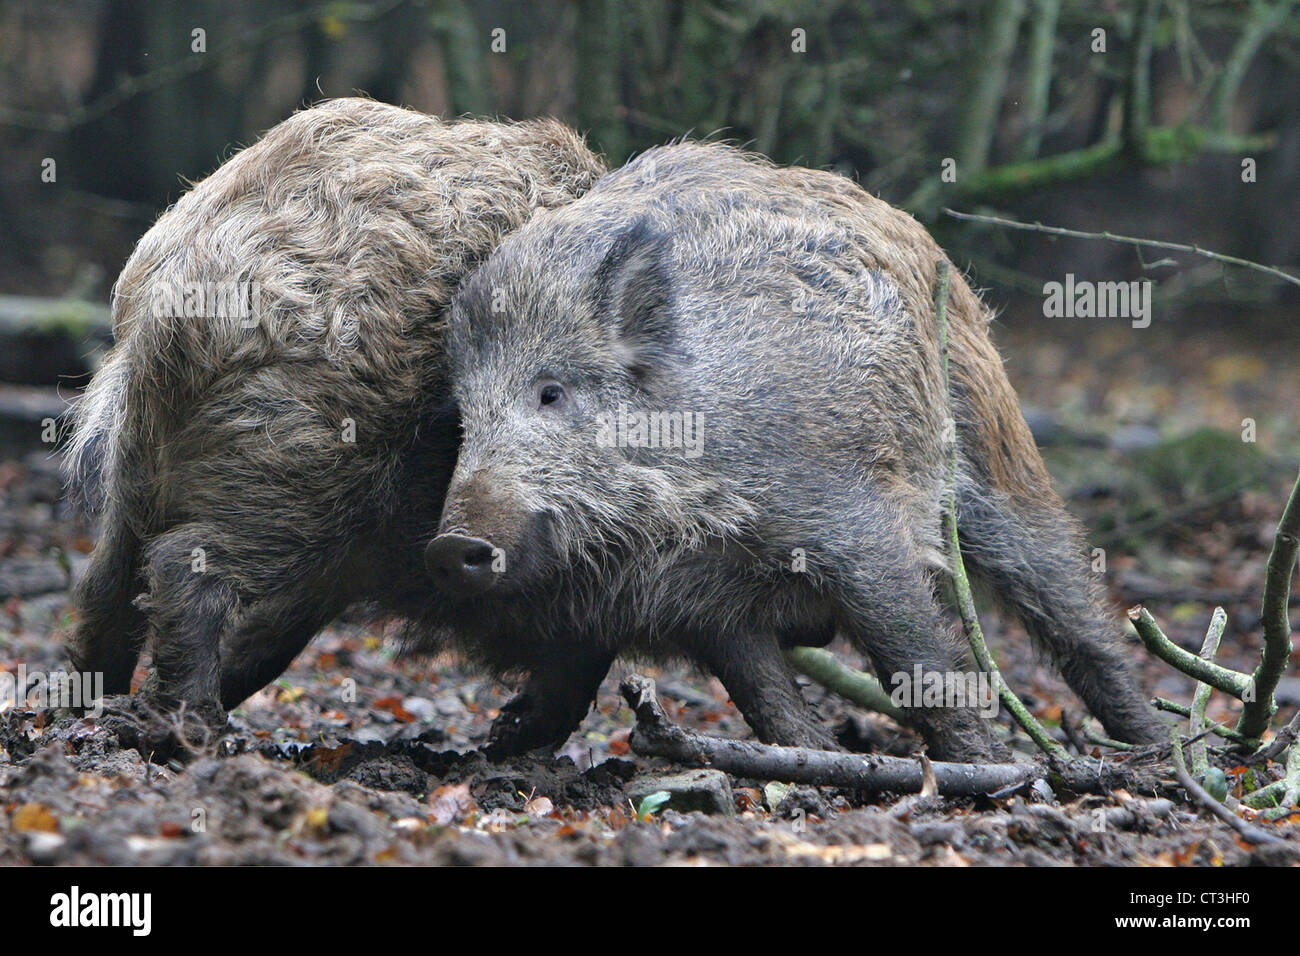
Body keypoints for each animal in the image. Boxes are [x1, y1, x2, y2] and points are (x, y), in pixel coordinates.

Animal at [424, 141, 1167, 762]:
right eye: (463, 415)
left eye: (550, 392)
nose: (450, 545)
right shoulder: (704, 600)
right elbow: (763, 690)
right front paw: (821, 760)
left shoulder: (854, 522)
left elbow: (912, 648)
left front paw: (992, 770)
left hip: (994, 443)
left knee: (1066, 599)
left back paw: (1156, 748)